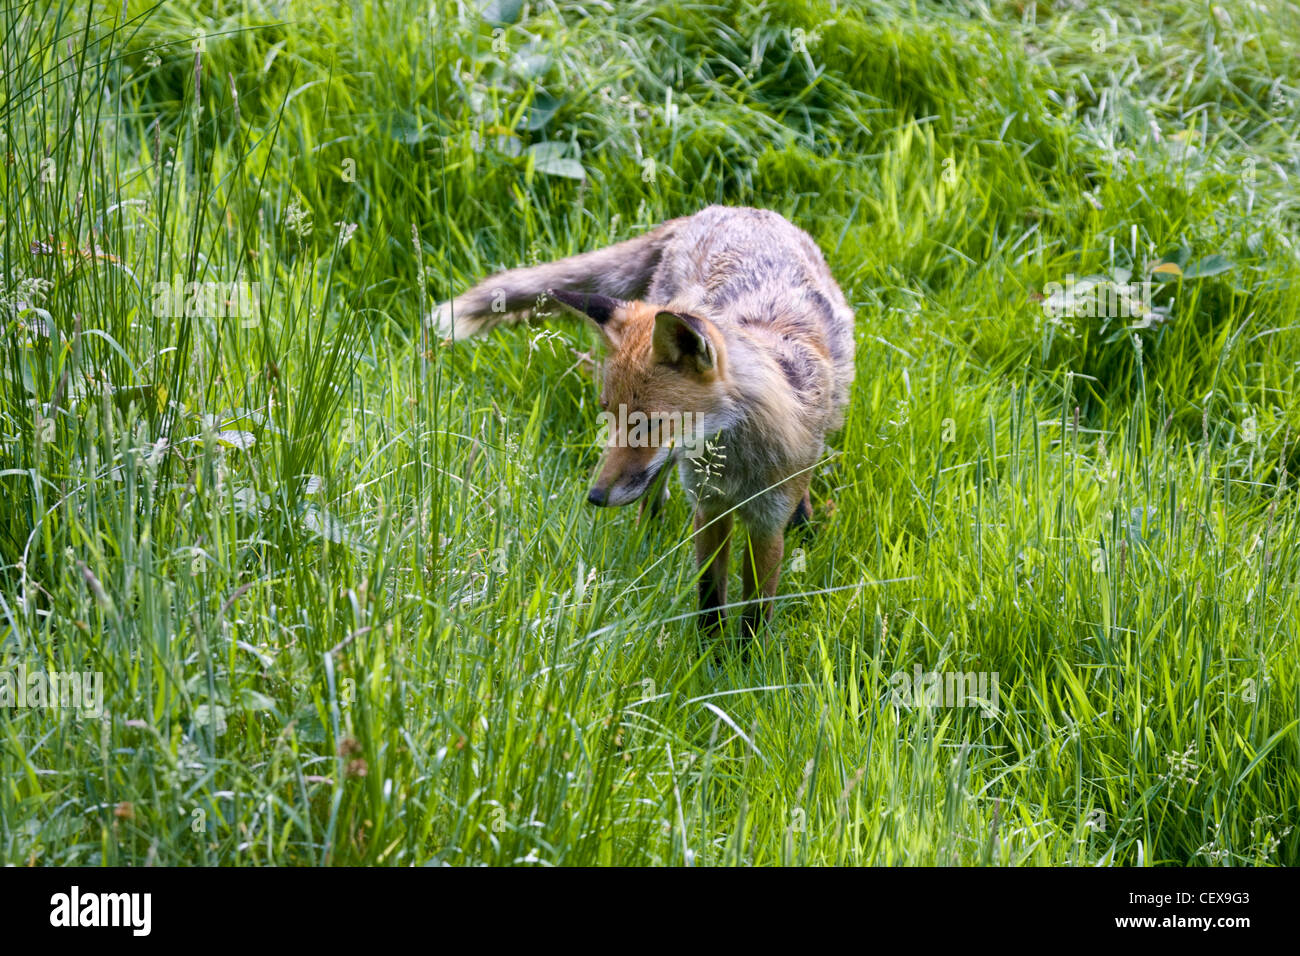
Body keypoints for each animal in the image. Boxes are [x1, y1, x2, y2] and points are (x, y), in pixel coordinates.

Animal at [430, 205, 855, 636]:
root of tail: (724, 209)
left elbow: (754, 613)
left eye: (649, 424)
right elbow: (709, 594)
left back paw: (803, 518)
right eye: (608, 414)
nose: (595, 497)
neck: (733, 462)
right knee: (654, 496)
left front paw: (742, 653)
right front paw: (709, 648)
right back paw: (647, 539)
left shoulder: (765, 523)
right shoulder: (709, 507)